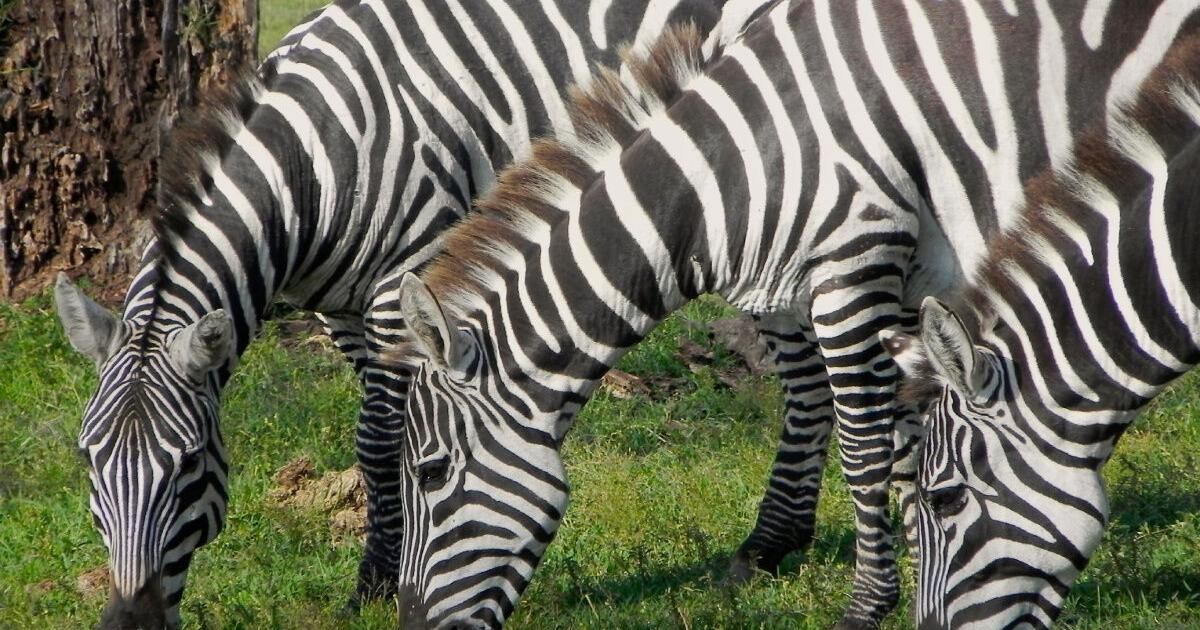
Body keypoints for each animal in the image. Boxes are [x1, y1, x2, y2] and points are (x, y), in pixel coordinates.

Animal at [51, 1, 734, 627]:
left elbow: (378, 443)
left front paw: (373, 587)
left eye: (190, 462)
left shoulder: (403, 282)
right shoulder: (340, 313)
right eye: (86, 460)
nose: (128, 622)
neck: (312, 162)